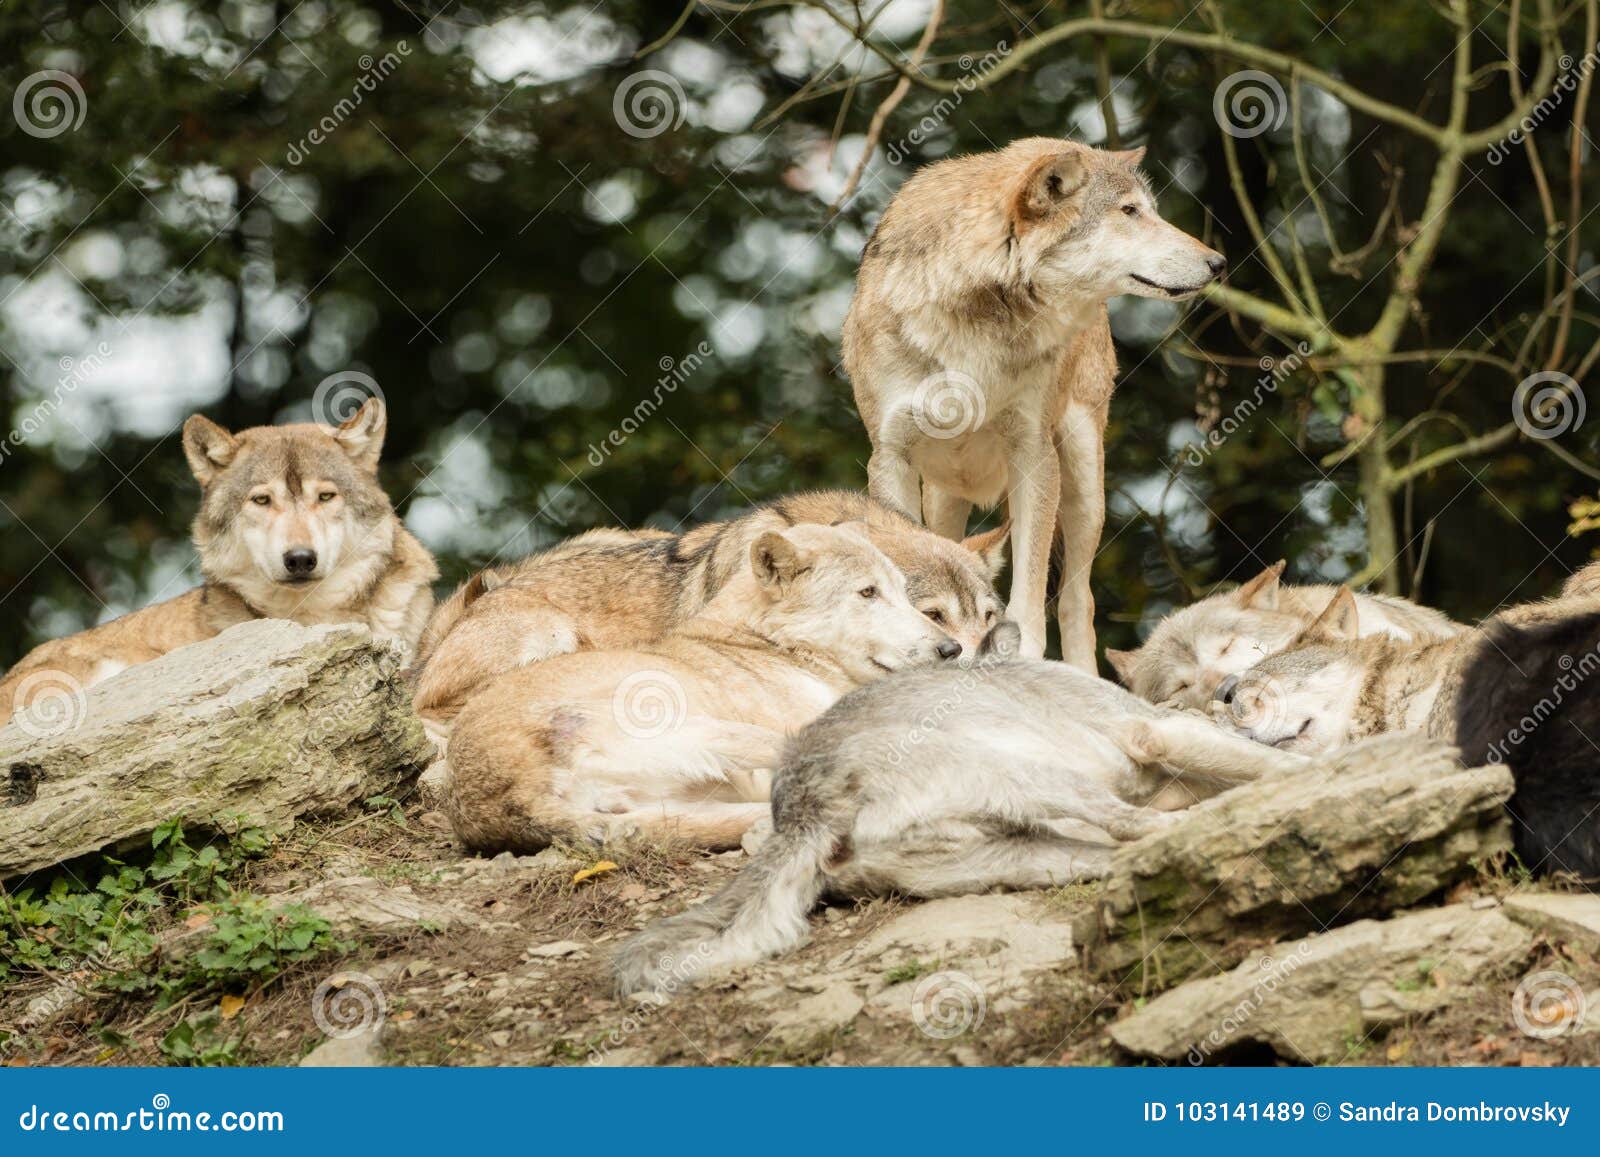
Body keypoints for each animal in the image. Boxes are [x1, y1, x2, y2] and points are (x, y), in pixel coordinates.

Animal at [443, 522, 964, 854]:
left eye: (904, 594)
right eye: (868, 593)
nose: (952, 649)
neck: (771, 644)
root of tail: (490, 802)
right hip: (725, 732)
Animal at [611, 624, 1311, 997]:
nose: (1232, 689)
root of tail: (802, 812)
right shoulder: (1156, 732)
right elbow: (1259, 760)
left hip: (1030, 853)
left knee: (1125, 849)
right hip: (1033, 777)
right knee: (1139, 828)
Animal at [845, 137, 1226, 669]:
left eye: (1150, 210)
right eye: (1129, 211)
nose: (1218, 263)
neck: (979, 321)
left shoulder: (1033, 452)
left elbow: (1026, 605)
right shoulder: (890, 458)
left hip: (1084, 483)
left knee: (1077, 601)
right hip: (944, 492)